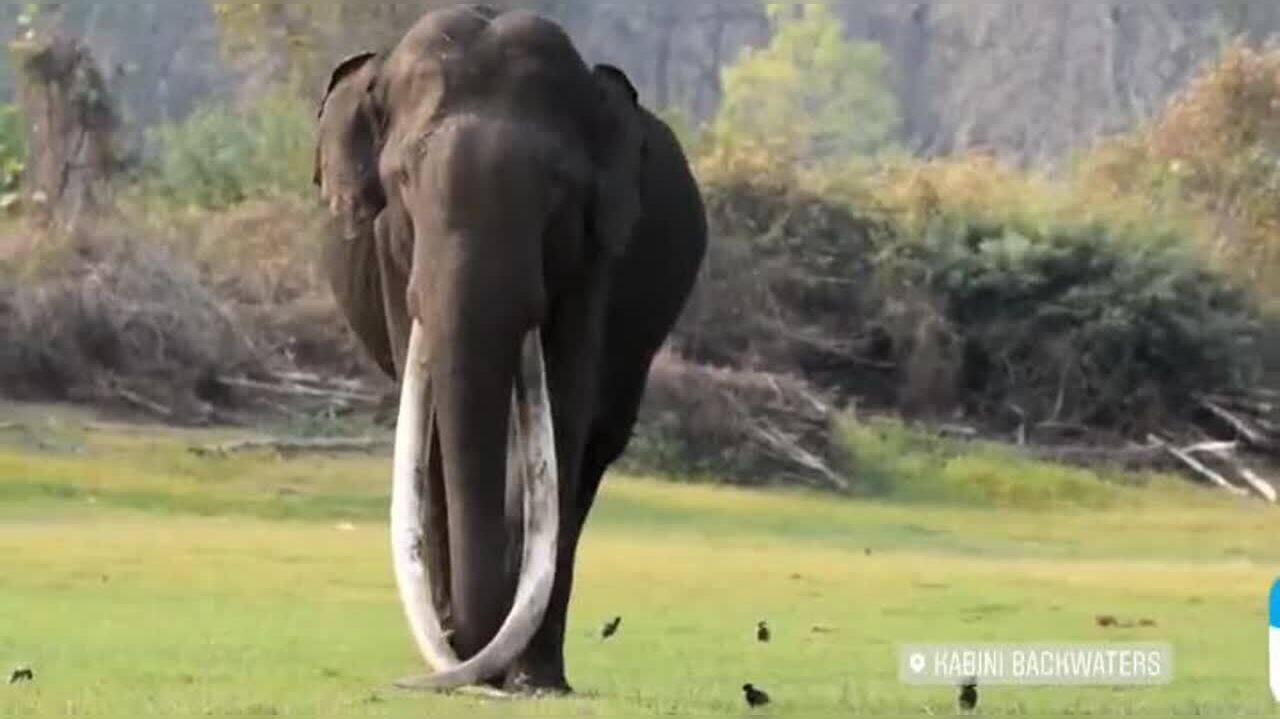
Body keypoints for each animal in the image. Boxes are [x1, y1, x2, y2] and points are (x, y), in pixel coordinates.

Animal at [314, 5, 706, 693]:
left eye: (558, 189)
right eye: (404, 179)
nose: (473, 670)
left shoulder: (594, 251)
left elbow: (565, 414)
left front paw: (526, 678)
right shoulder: (392, 253)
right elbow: (432, 436)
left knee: (593, 449)